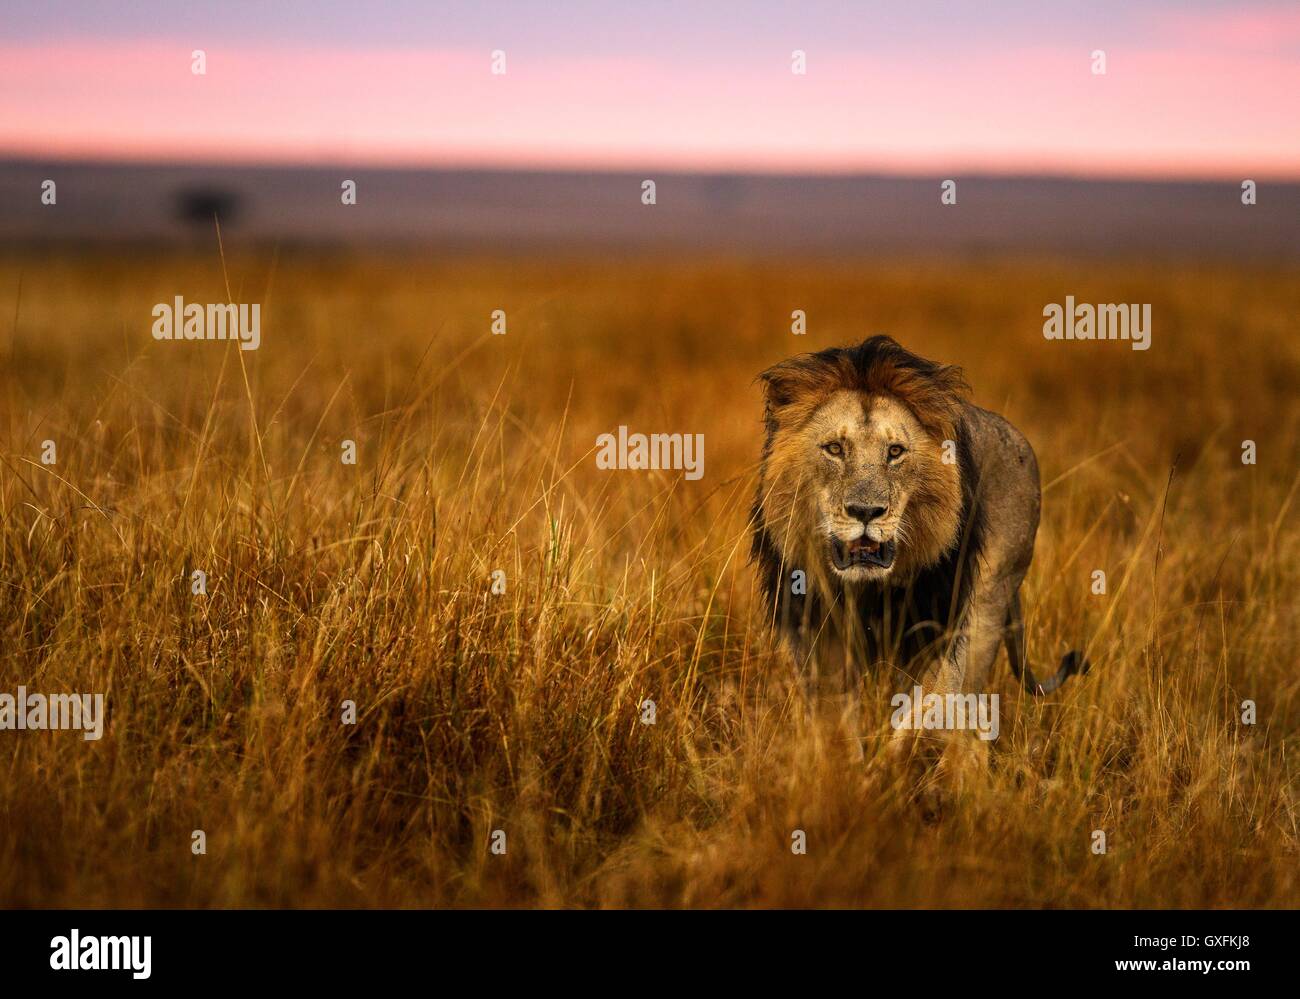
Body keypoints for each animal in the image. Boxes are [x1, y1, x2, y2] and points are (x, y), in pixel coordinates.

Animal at [751, 335, 1087, 717]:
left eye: (895, 451)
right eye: (835, 448)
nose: (866, 511)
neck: (867, 590)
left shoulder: (939, 628)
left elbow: (921, 707)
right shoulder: (816, 635)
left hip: (990, 599)